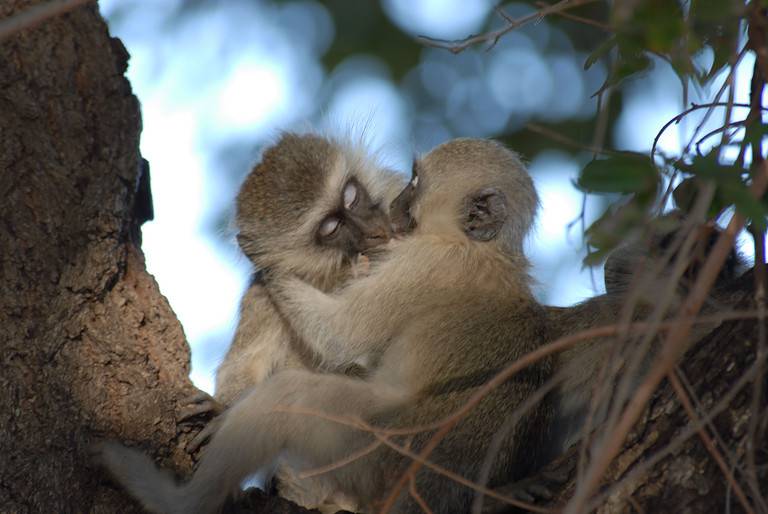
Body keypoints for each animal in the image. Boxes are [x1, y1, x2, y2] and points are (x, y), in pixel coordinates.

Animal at [98, 137, 557, 514]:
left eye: (352, 197)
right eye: (331, 227)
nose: (383, 221)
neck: (486, 249)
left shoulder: (423, 262)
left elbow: (340, 335)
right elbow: (248, 359)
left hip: (374, 447)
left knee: (291, 396)